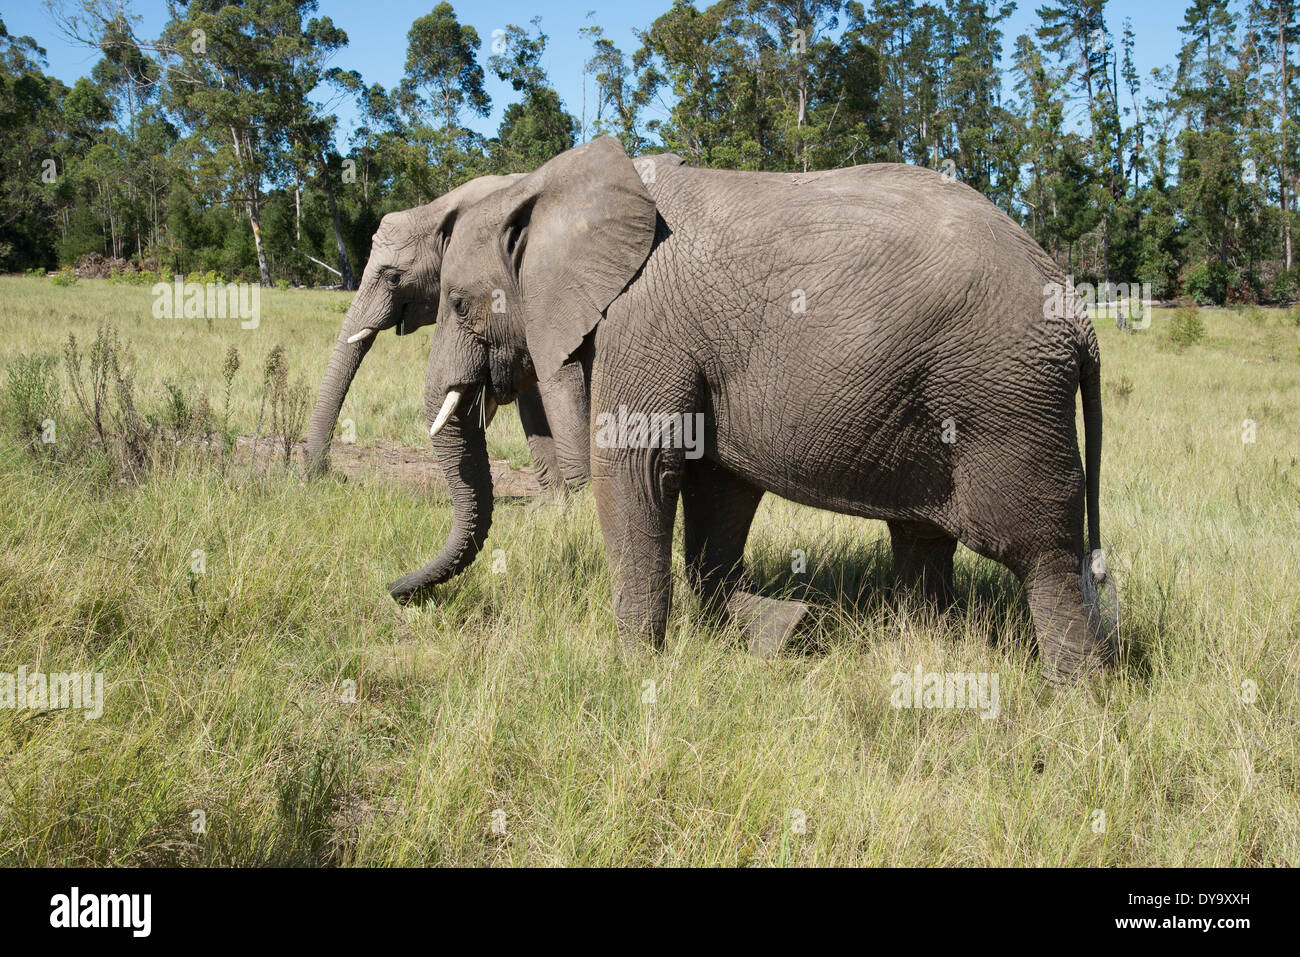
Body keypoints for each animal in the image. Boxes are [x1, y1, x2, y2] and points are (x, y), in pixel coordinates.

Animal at [303, 174, 590, 496]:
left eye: (393, 278)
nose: (331, 476)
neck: (439, 208)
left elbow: (554, 381)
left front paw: (573, 496)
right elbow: (529, 396)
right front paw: (554, 500)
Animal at [391, 137, 1110, 684]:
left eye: (458, 303)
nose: (395, 593)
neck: (553, 186)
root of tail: (1078, 314)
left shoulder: (641, 323)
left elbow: (635, 469)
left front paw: (633, 668)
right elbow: (718, 487)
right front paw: (768, 630)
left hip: (1006, 400)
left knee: (1042, 553)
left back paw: (1074, 699)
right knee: (924, 537)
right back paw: (922, 650)